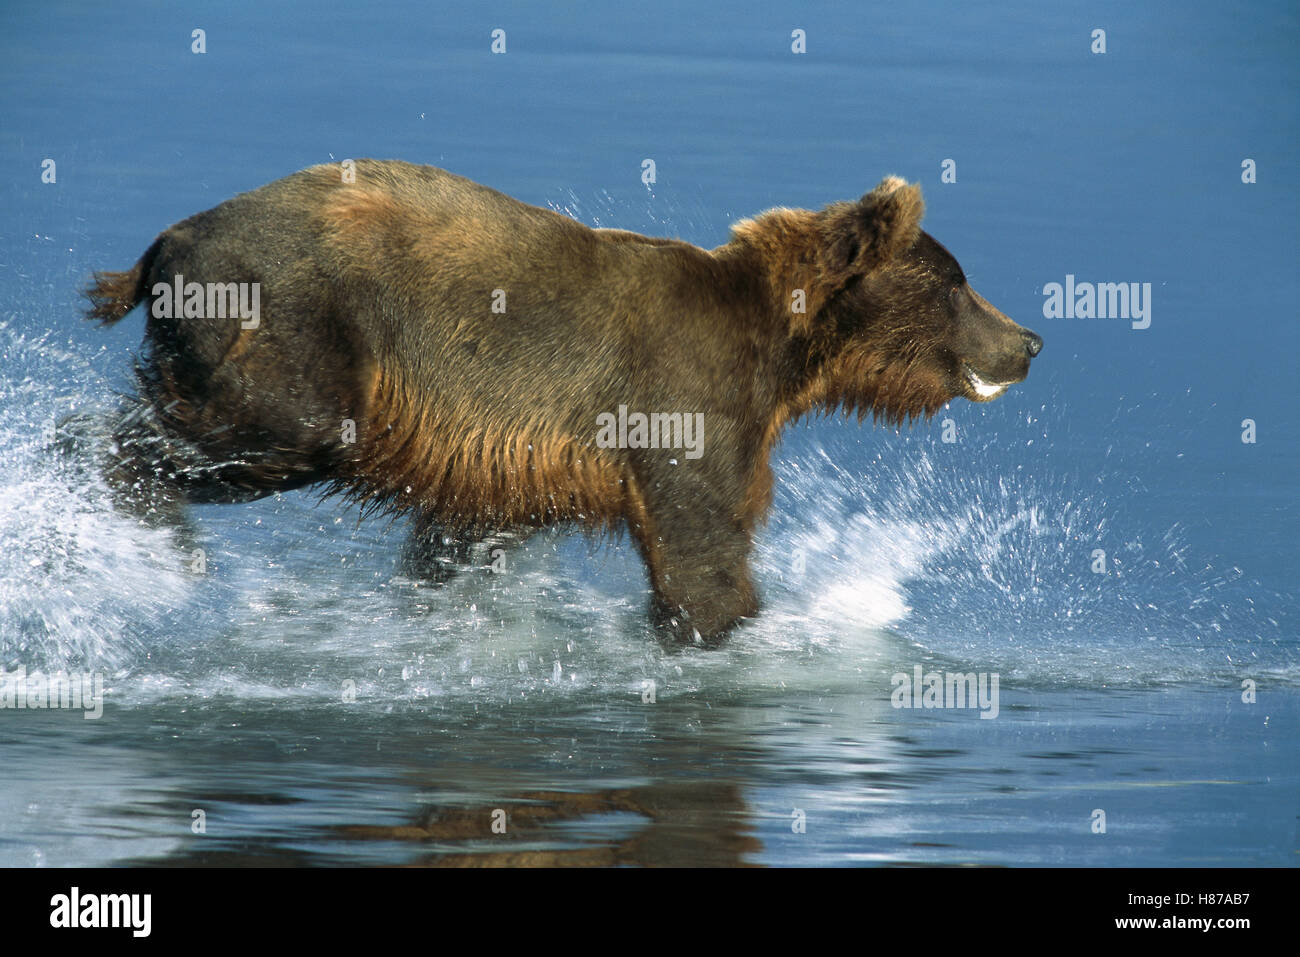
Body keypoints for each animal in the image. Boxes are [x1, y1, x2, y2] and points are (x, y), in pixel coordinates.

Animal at [80, 159, 1041, 644]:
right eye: (956, 284)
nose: (1028, 340)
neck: (782, 359)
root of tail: (166, 241)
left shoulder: (500, 459)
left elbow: (454, 546)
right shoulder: (681, 401)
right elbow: (704, 550)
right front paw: (739, 626)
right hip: (291, 321)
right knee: (267, 430)